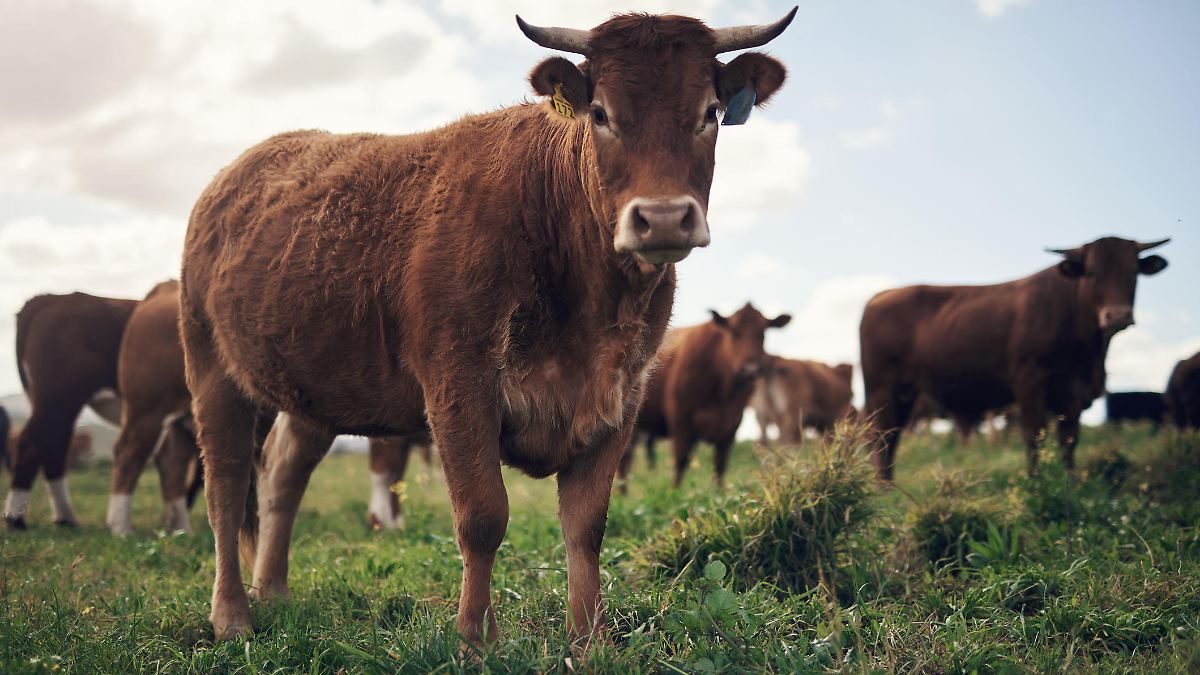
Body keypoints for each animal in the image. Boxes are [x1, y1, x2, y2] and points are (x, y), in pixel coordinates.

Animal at [5, 293, 137, 529]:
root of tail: (52, 297)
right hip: (58, 400)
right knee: (31, 444)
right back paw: (16, 519)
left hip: (58, 407)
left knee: (54, 447)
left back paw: (65, 517)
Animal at [620, 304, 791, 489]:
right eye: (734, 332)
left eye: (763, 333)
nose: (750, 369)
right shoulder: (680, 417)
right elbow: (680, 460)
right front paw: (675, 491)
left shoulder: (732, 424)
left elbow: (720, 464)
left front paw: (719, 491)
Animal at [861, 236, 1169, 481]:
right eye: (1091, 273)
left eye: (1133, 272)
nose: (1117, 315)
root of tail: (881, 296)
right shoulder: (1029, 383)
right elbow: (1033, 435)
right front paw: (1036, 483)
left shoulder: (1073, 394)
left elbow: (1069, 440)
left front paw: (1070, 483)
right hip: (882, 390)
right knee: (881, 437)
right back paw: (884, 490)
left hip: (906, 393)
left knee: (892, 438)